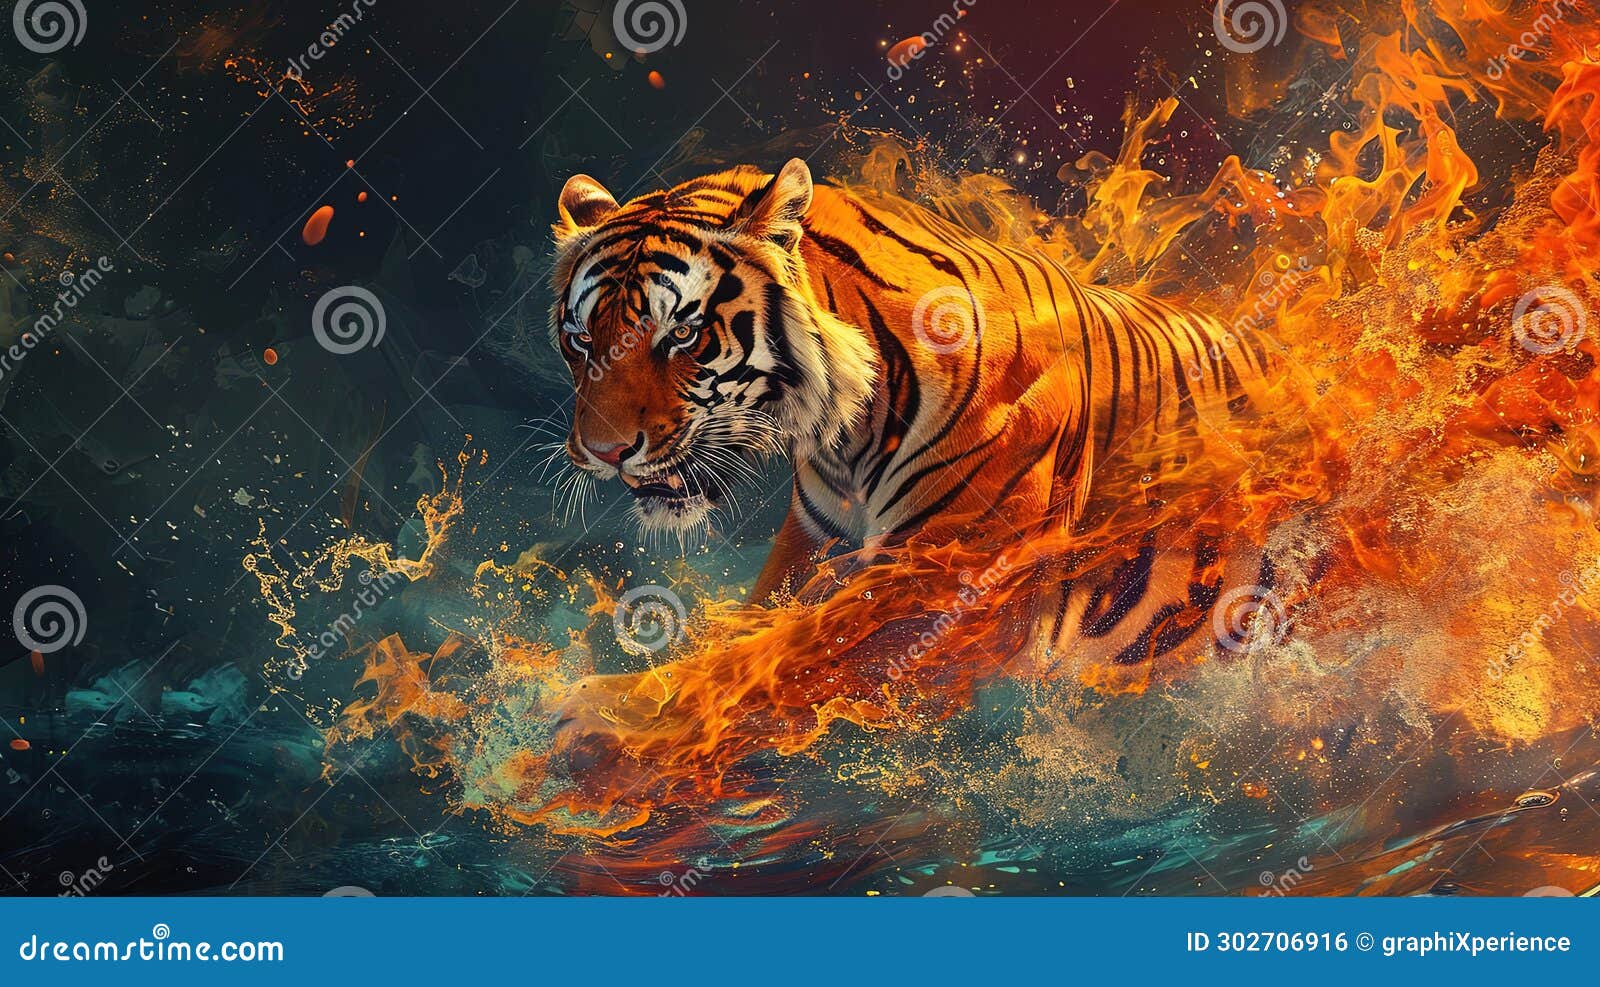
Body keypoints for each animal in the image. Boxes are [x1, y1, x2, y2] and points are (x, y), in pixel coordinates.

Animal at [549, 158, 1280, 668]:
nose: (605, 453)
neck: (845, 429)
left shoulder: (944, 579)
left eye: (681, 334)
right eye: (582, 339)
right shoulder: (813, 541)